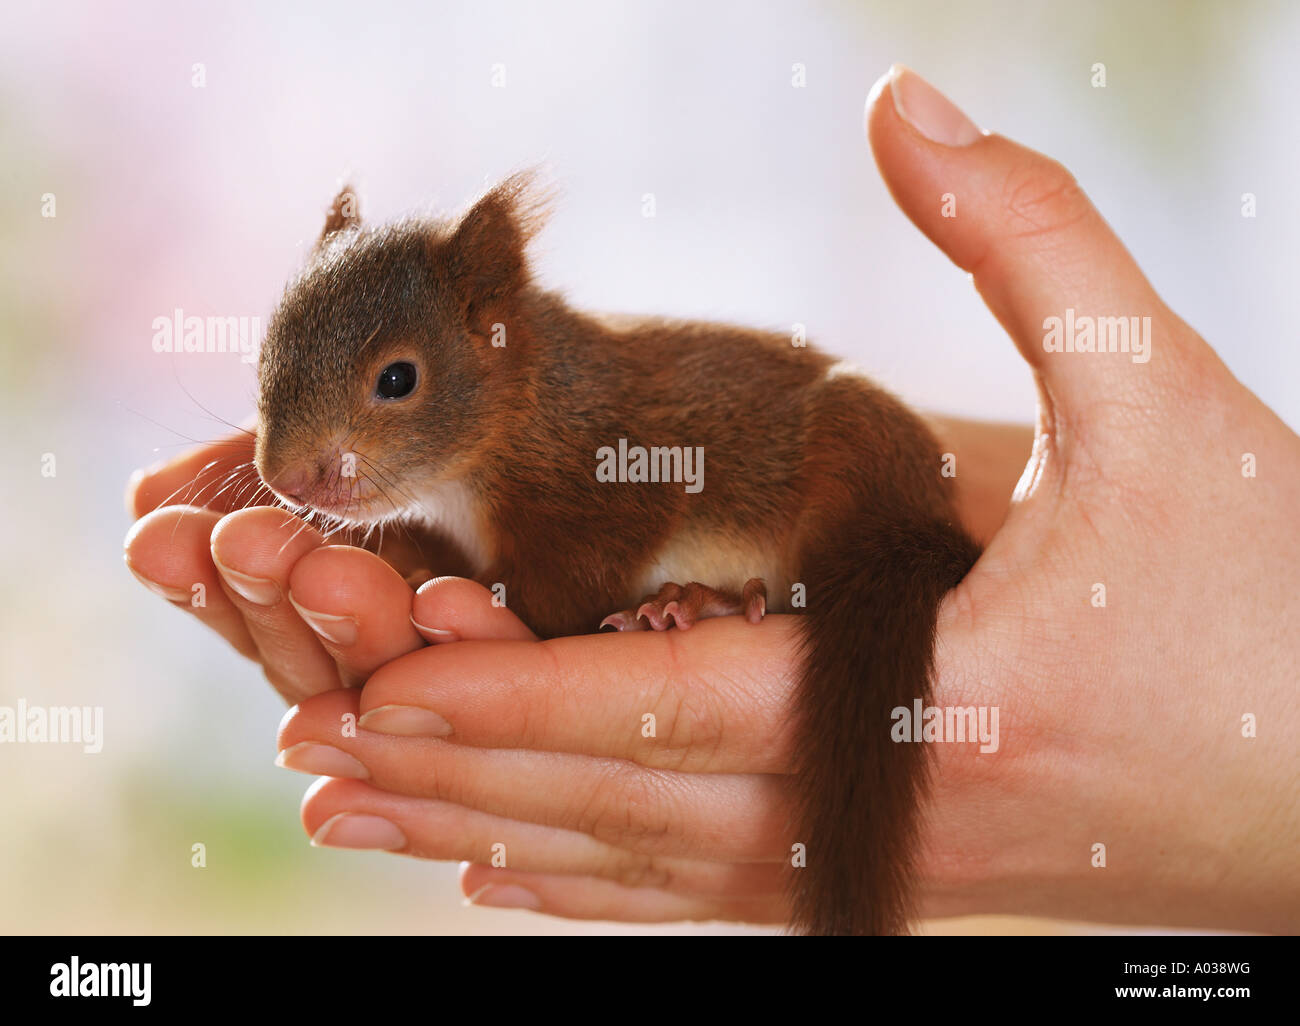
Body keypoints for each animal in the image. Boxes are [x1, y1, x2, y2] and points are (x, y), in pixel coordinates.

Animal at [254, 173, 982, 935]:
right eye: (266, 350)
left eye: (398, 379)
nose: (283, 478)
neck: (521, 412)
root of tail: (932, 523)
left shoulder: (614, 489)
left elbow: (562, 593)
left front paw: (432, 570)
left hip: (848, 457)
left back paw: (703, 601)